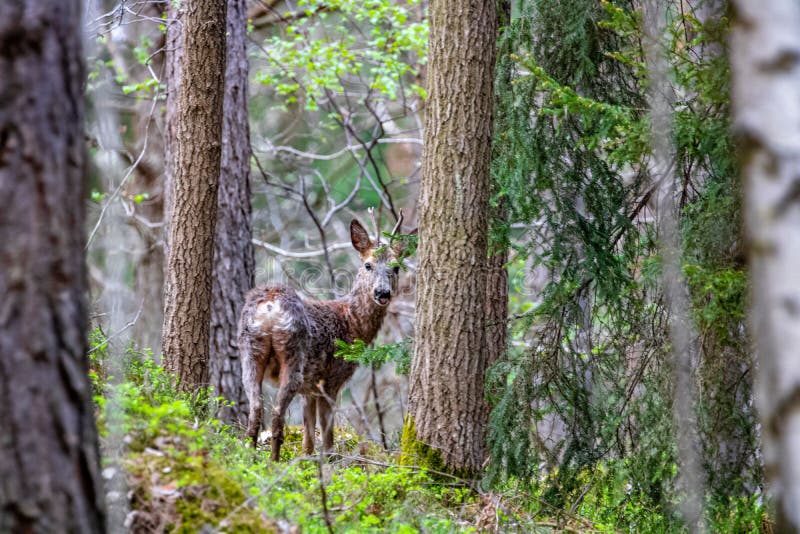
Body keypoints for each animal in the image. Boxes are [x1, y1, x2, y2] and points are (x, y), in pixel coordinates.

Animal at [238, 211, 413, 461]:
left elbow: (308, 436)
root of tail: (270, 305)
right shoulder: (332, 379)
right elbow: (327, 436)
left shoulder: (310, 388)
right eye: (368, 265)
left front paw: (306, 459)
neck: (352, 323)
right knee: (277, 415)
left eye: (396, 267)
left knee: (255, 411)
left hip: (249, 352)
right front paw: (330, 461)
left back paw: (252, 459)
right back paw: (274, 462)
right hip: (294, 357)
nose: (382, 293)